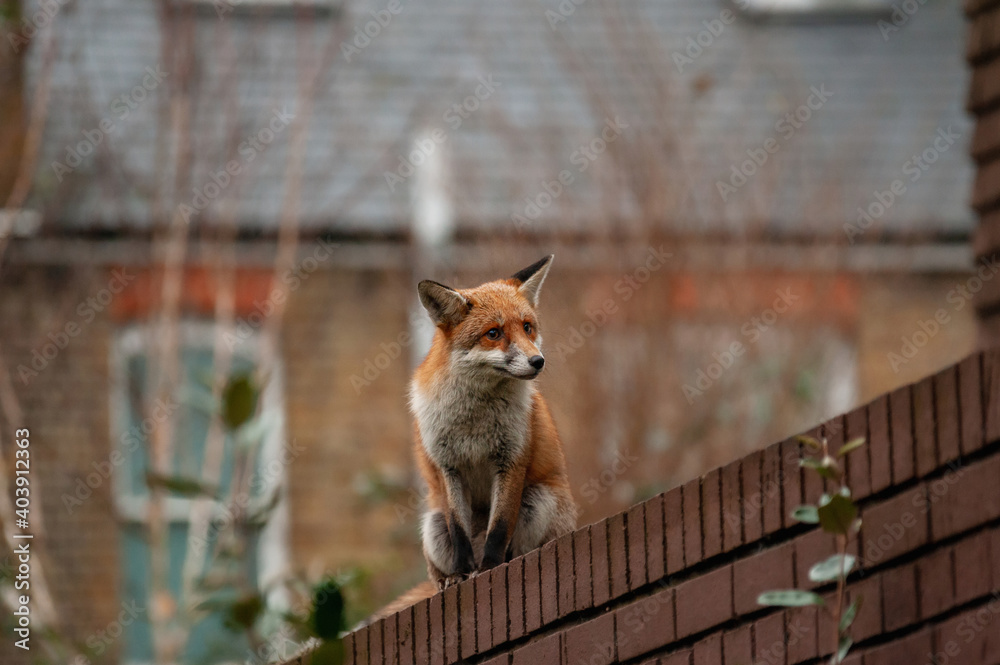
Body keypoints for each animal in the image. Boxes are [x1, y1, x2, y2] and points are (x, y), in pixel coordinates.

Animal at [372, 256, 577, 618]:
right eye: (493, 334)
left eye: (528, 327)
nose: (538, 361)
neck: (474, 420)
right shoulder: (448, 466)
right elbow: (460, 532)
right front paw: (464, 573)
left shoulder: (511, 458)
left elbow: (499, 529)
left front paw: (490, 568)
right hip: (433, 524)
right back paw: (447, 580)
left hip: (538, 500)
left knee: (518, 543)